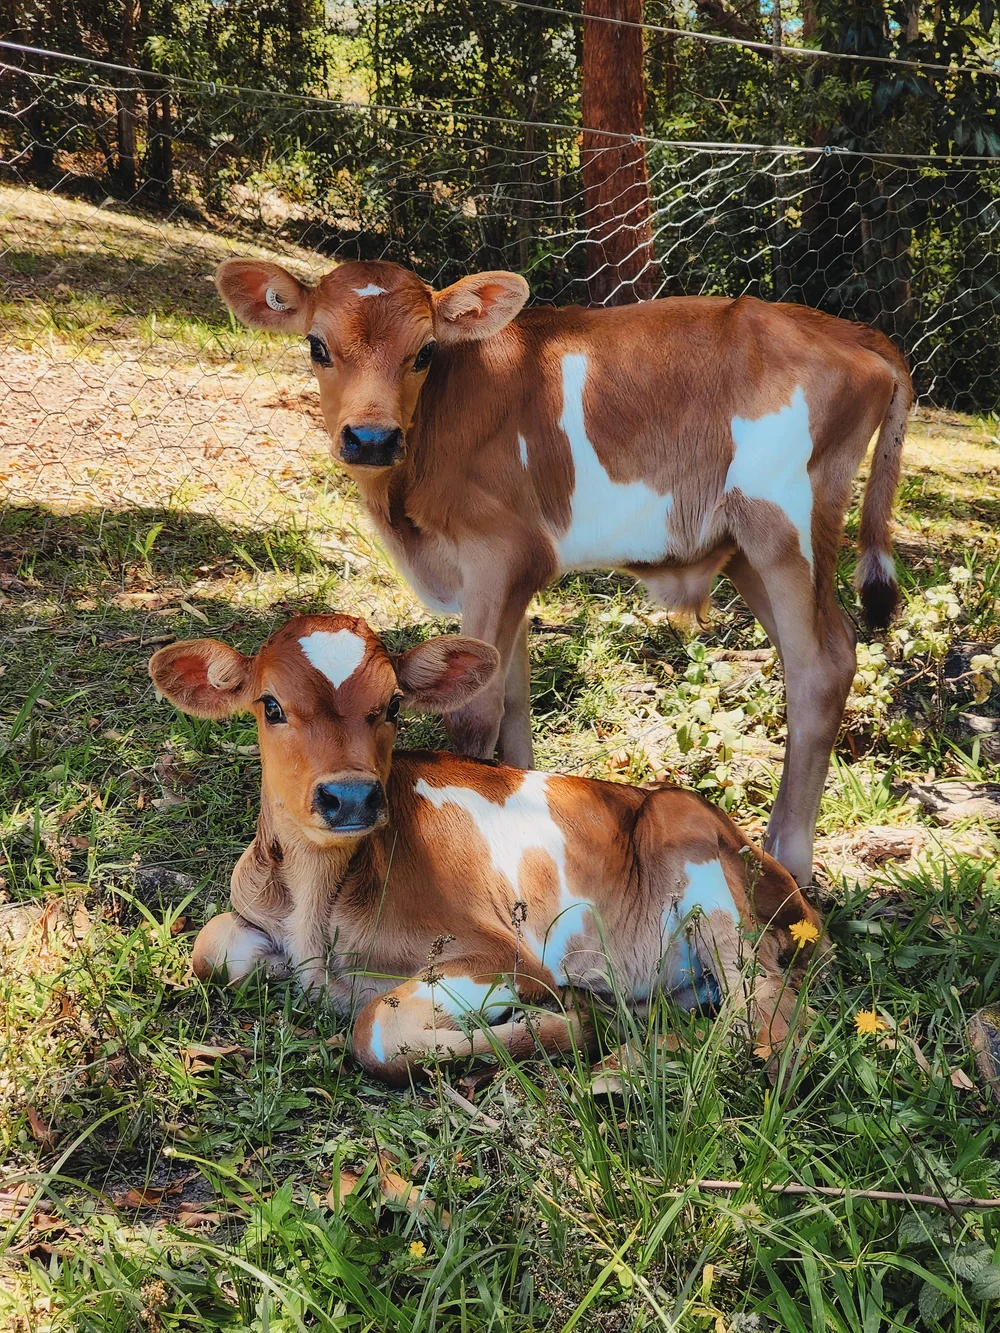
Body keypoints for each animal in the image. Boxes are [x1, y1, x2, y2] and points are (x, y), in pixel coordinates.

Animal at [149, 613, 826, 1087]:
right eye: (270, 705)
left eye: (393, 704)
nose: (351, 797)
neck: (317, 909)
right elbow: (211, 946)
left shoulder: (505, 957)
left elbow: (375, 1030)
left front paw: (554, 1022)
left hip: (691, 848)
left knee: (767, 1014)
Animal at [214, 259, 911, 887]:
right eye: (317, 345)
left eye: (425, 352)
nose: (371, 438)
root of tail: (849, 330)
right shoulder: (503, 580)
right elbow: (514, 703)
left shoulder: (501, 553)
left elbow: (474, 715)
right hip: (747, 550)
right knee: (821, 656)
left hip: (786, 527)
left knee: (820, 666)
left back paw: (790, 862)